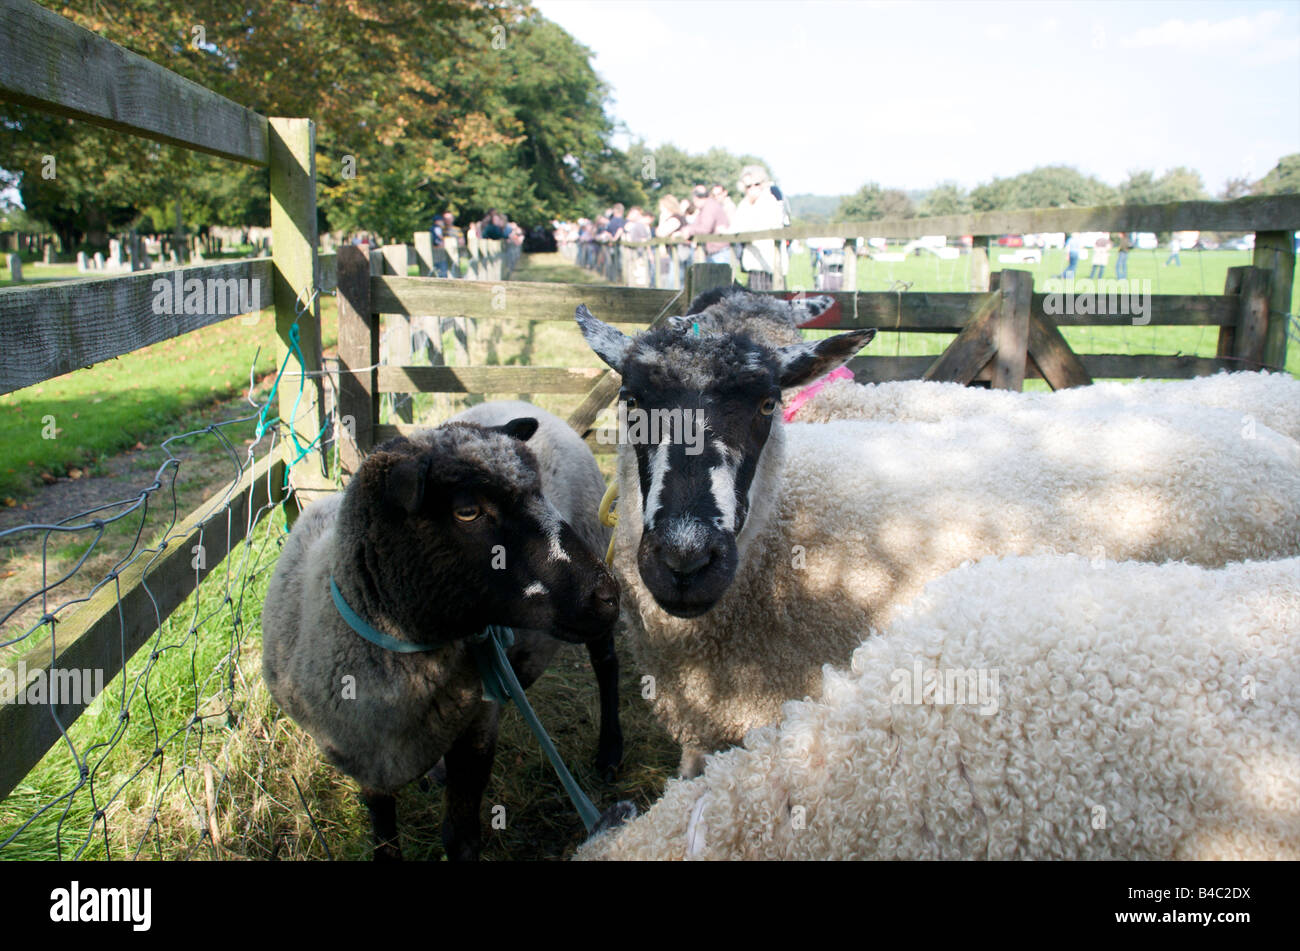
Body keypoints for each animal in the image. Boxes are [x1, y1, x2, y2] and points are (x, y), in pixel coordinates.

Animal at [261, 401, 620, 859]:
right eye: (467, 511)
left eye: (539, 492)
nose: (607, 594)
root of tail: (528, 406)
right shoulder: (364, 758)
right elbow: (383, 834)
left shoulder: (477, 727)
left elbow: (460, 836)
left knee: (606, 665)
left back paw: (610, 753)